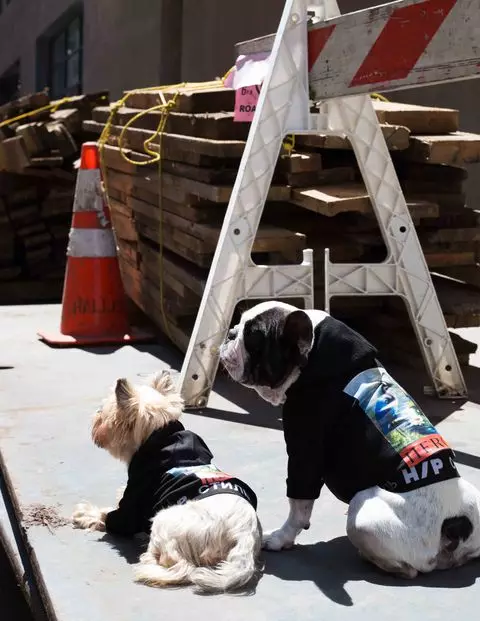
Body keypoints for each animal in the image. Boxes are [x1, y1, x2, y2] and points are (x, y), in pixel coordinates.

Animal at [70, 368, 262, 592]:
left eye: (103, 412)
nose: (95, 418)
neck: (162, 435)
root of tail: (243, 536)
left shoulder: (133, 504)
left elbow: (111, 515)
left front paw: (86, 514)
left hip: (163, 519)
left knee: (180, 566)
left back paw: (149, 561)